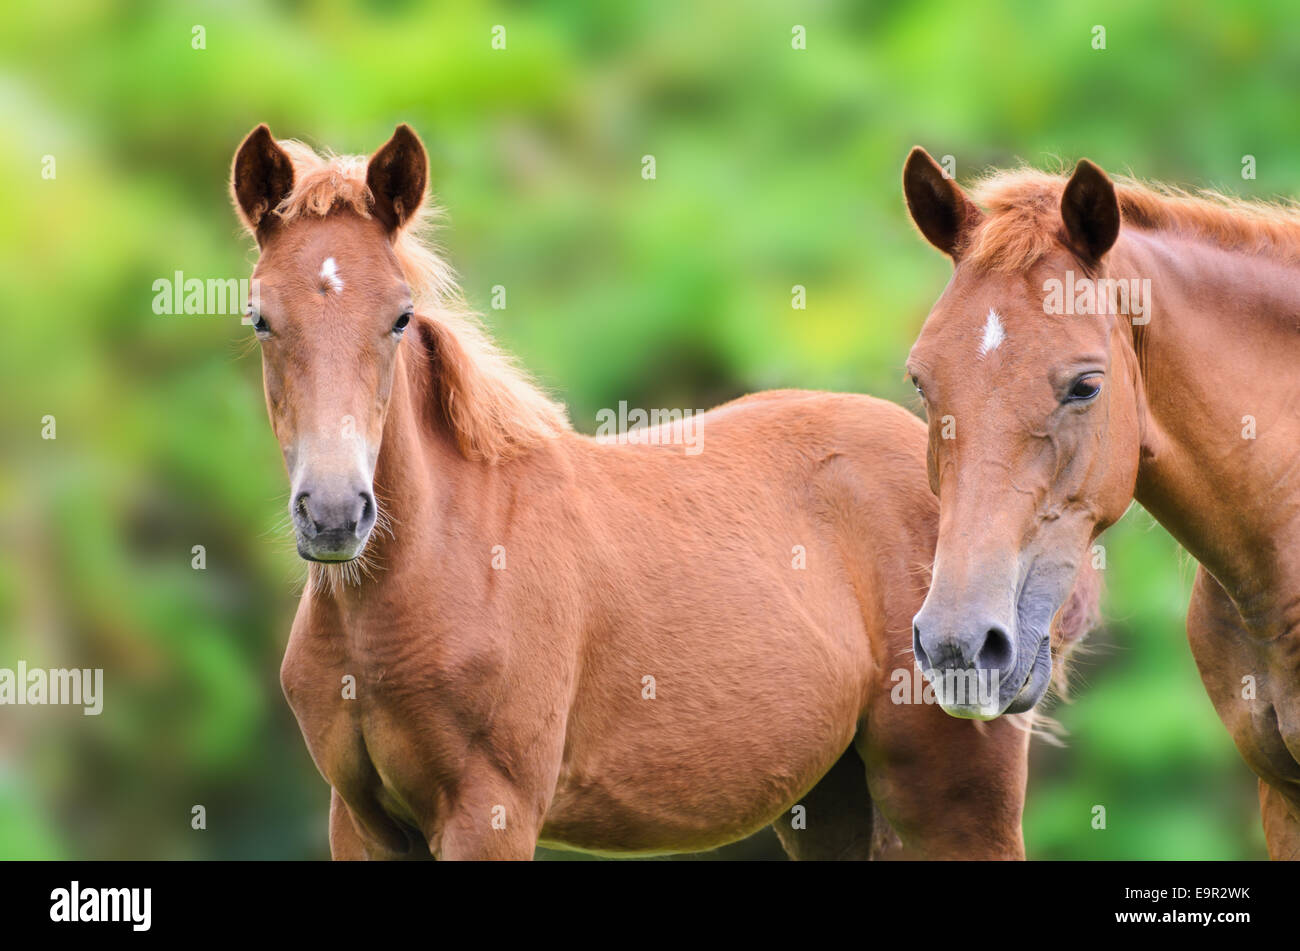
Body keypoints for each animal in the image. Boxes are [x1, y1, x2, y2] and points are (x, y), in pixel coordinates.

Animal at [228, 123, 1093, 859]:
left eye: (400, 316)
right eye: (261, 317)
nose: (334, 513)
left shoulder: (489, 809)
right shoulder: (361, 819)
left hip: (957, 797)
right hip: (837, 798)